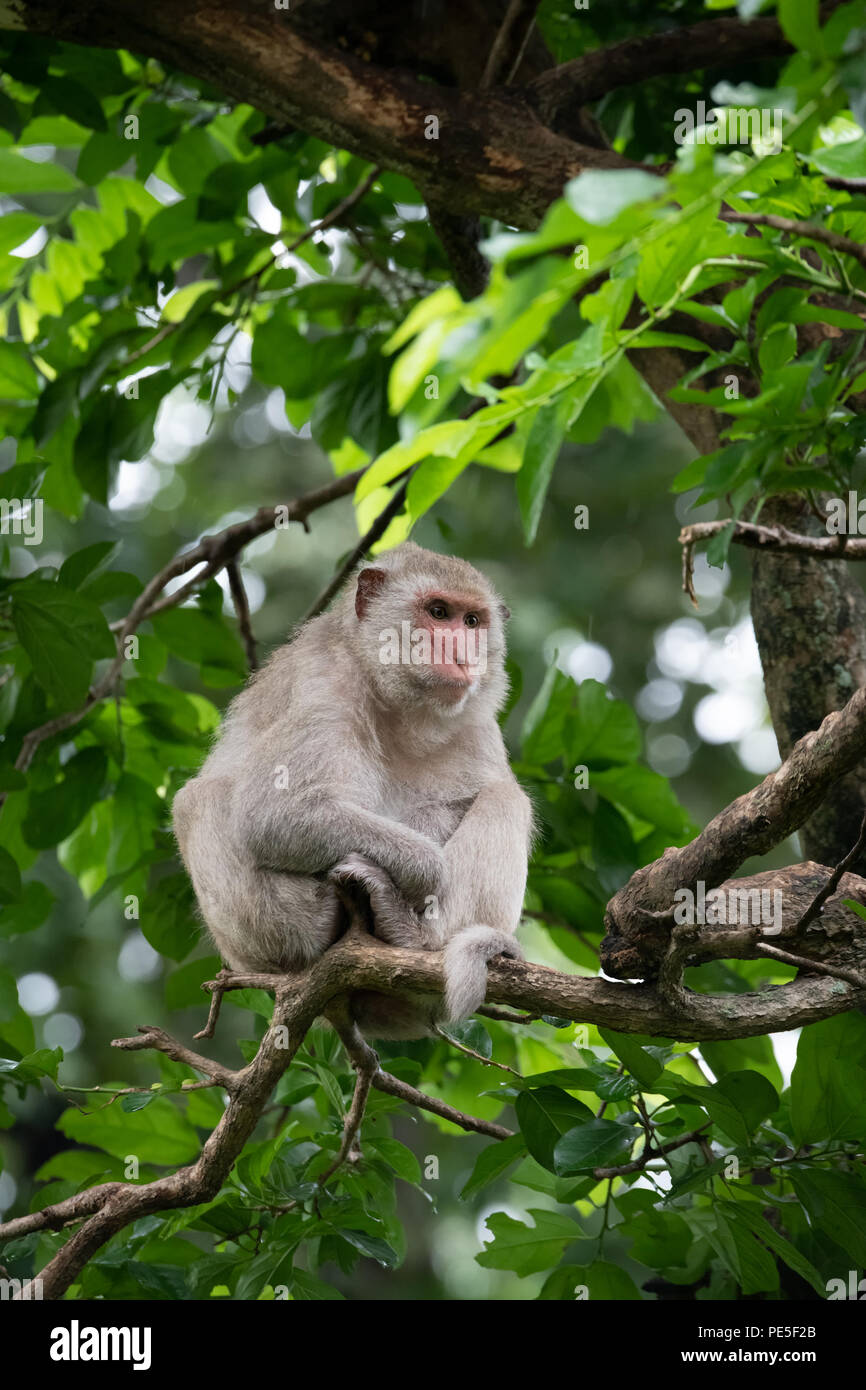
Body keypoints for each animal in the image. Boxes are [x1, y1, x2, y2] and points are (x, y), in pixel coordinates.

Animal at [172, 541, 533, 1039]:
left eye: (473, 622)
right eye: (438, 612)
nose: (463, 652)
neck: (399, 705)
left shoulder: (477, 725)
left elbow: (466, 797)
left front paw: (429, 827)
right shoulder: (325, 686)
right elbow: (273, 814)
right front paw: (426, 868)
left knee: (505, 798)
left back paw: (419, 940)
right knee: (199, 800)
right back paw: (316, 935)